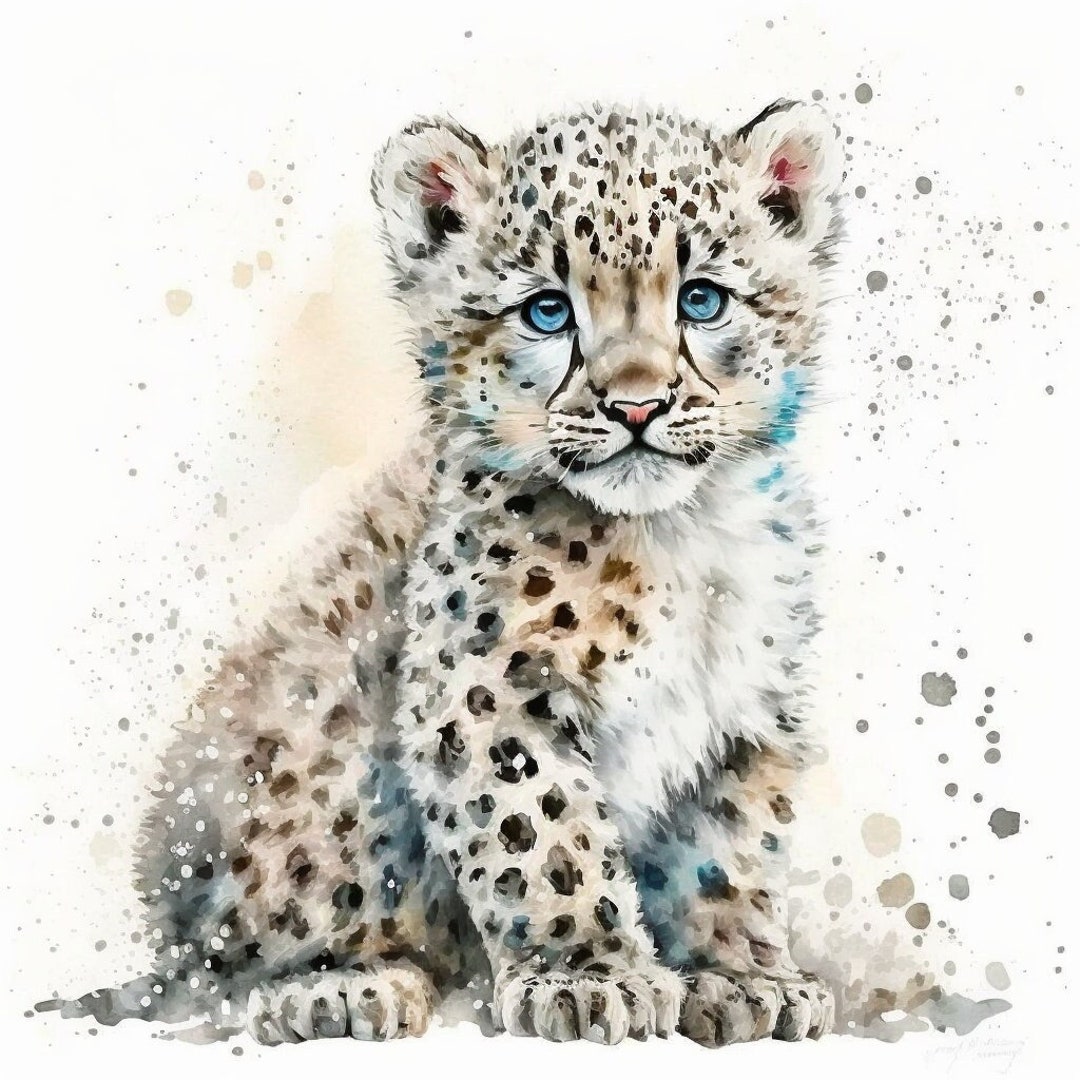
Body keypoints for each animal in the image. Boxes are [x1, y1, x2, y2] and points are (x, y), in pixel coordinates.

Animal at [39, 99, 845, 1047]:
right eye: (547, 312)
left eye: (702, 299)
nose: (637, 405)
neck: (682, 537)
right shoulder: (488, 688)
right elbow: (546, 836)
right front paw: (589, 975)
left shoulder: (745, 713)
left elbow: (729, 851)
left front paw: (743, 976)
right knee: (233, 971)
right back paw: (344, 990)